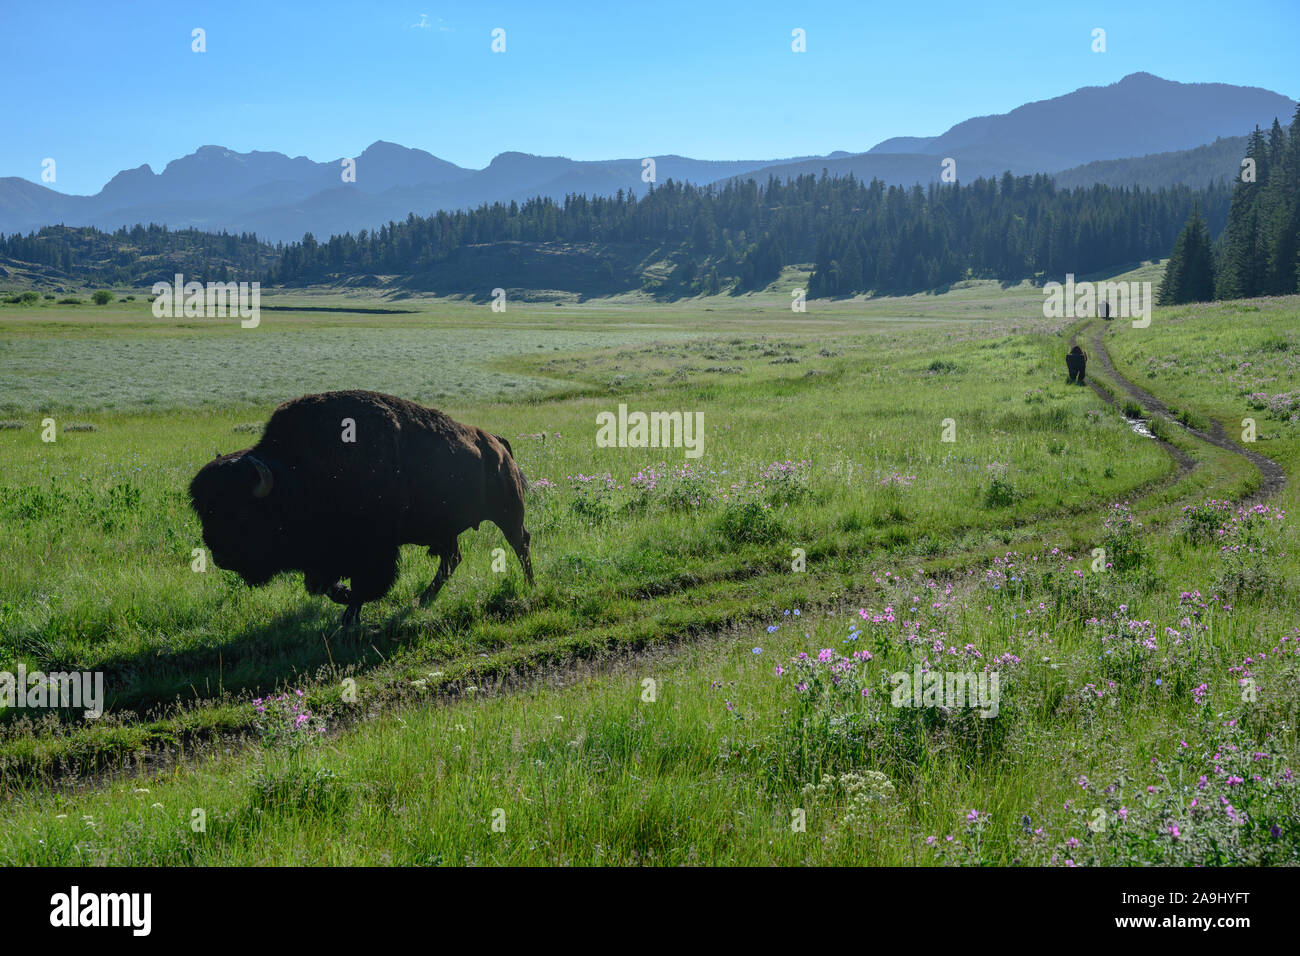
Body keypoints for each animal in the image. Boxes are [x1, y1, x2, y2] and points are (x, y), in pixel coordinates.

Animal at [189, 390, 533, 626]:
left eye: (241, 514)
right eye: (206, 511)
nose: (219, 555)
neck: (296, 475)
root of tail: (497, 443)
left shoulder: (371, 551)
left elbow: (364, 583)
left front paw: (349, 618)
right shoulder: (325, 557)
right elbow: (326, 585)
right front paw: (344, 602)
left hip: (507, 514)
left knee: (520, 545)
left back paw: (531, 585)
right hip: (447, 530)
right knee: (452, 560)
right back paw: (422, 600)